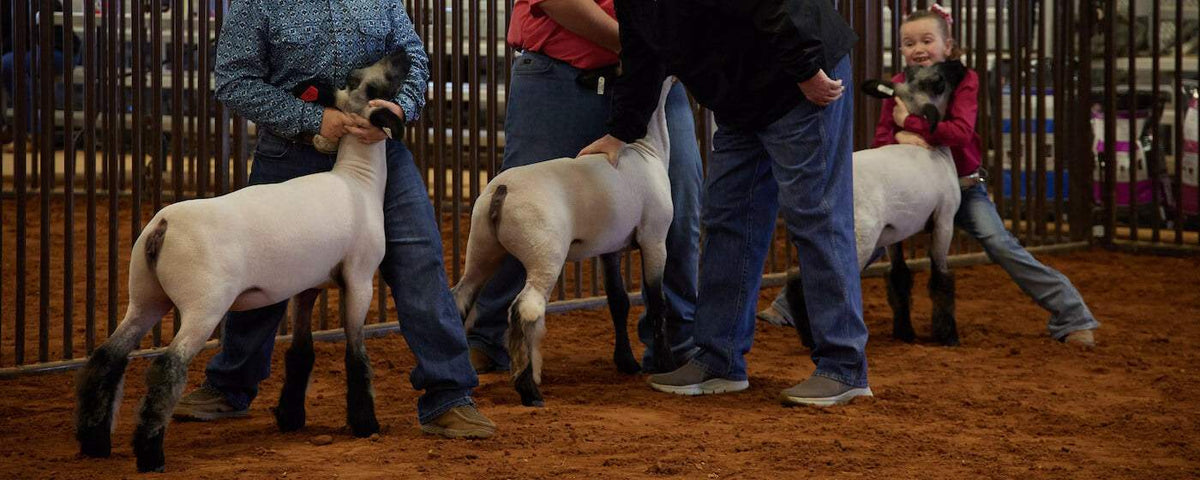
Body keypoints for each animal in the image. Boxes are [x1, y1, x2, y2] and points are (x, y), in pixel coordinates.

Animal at [73, 52, 408, 473]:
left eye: (358, 74)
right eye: (375, 84)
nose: (404, 54)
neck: (358, 180)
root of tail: (162, 227)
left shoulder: (307, 285)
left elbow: (301, 353)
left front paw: (290, 417)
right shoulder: (360, 278)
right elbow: (356, 355)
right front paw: (366, 423)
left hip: (145, 296)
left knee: (108, 356)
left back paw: (94, 441)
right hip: (204, 304)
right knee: (167, 367)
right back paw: (150, 454)